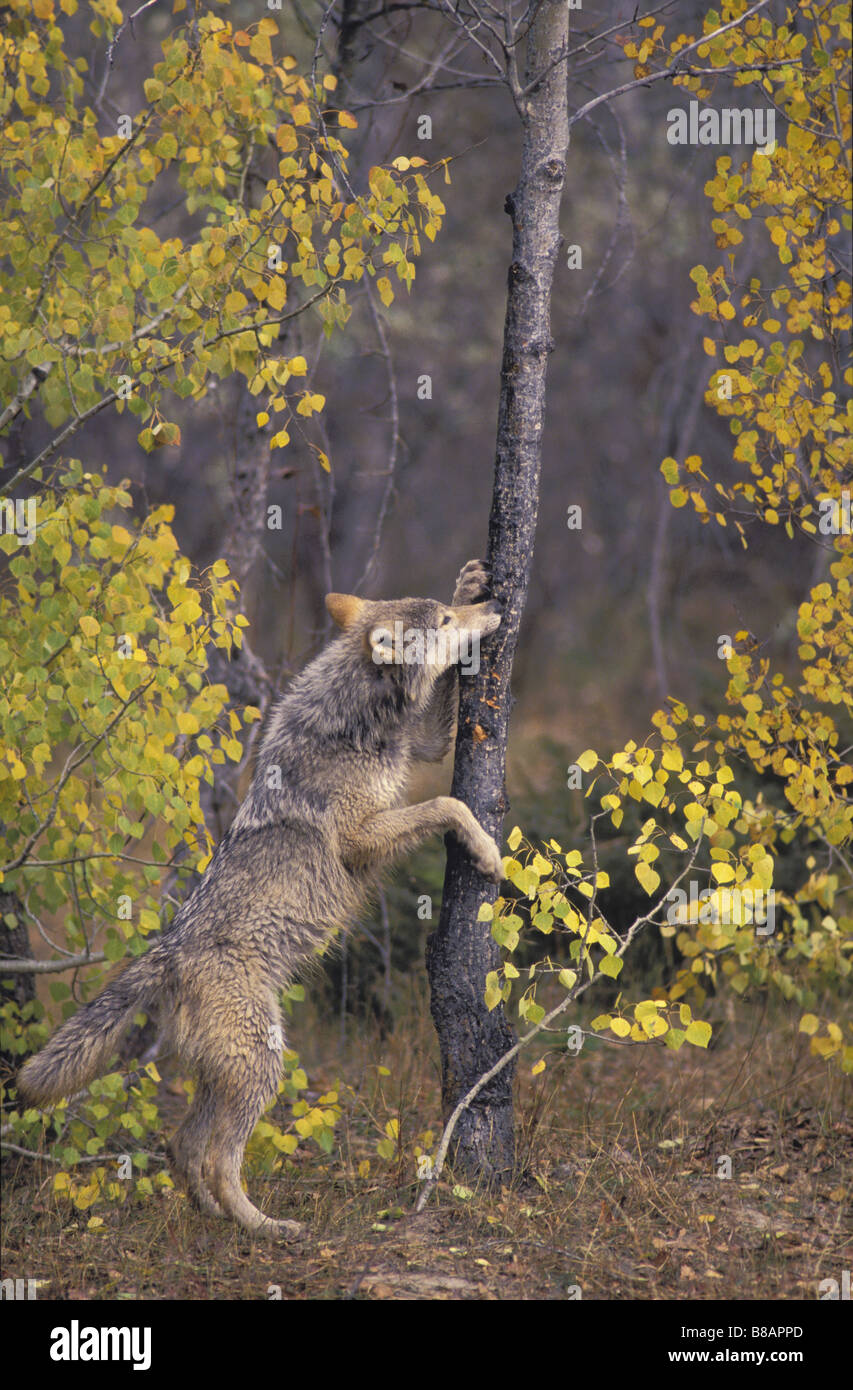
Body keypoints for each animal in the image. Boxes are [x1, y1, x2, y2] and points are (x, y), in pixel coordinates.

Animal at [17, 560, 503, 1237]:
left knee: (184, 1147)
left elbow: (441, 764)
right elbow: (450, 804)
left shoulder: (426, 750)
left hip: (233, 1070)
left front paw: (470, 576)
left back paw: (214, 1219)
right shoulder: (362, 836)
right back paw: (268, 1229)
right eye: (449, 622)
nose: (496, 608)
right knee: (219, 1159)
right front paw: (488, 853)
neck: (358, 716)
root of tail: (168, 948)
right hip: (263, 1065)